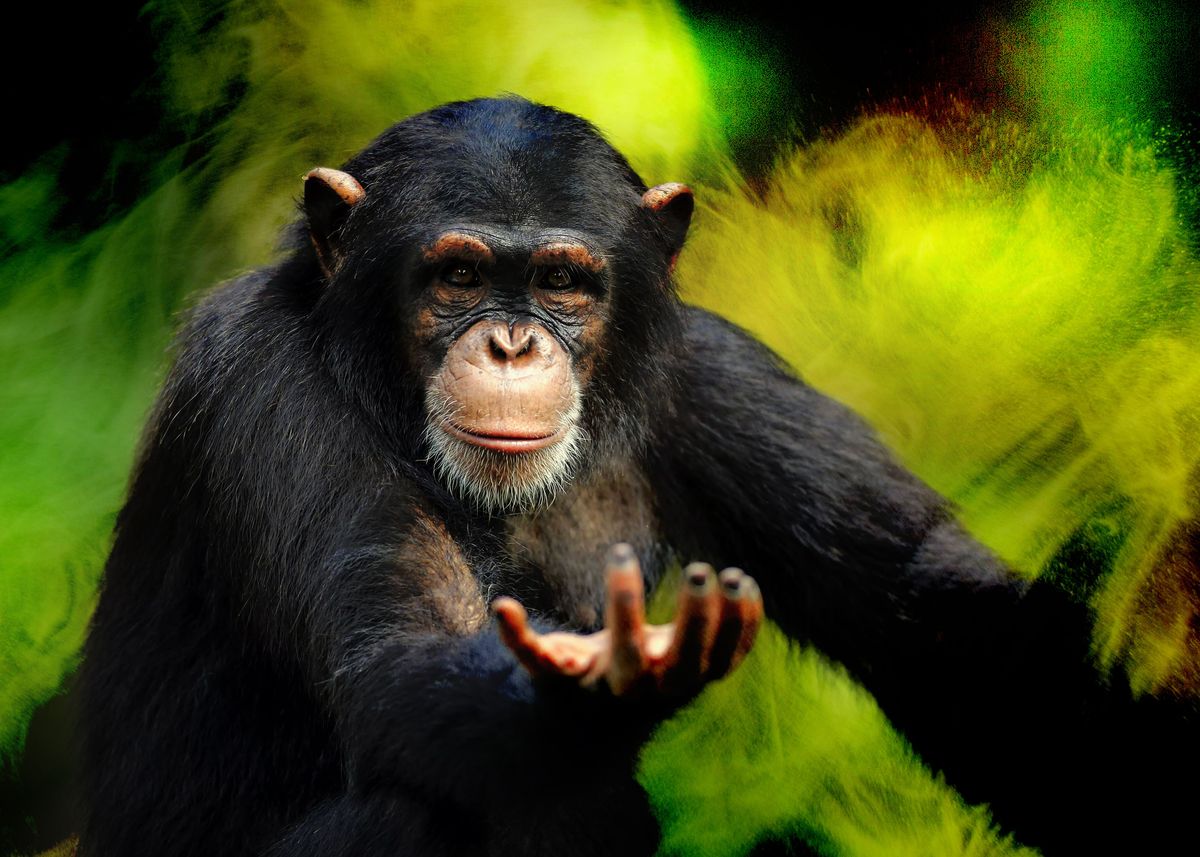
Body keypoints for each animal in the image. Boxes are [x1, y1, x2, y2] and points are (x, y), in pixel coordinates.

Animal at [79, 96, 1197, 857]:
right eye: (458, 276)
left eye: (565, 281)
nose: (515, 341)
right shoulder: (265, 387)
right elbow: (391, 663)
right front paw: (605, 681)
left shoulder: (714, 374)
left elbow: (937, 613)